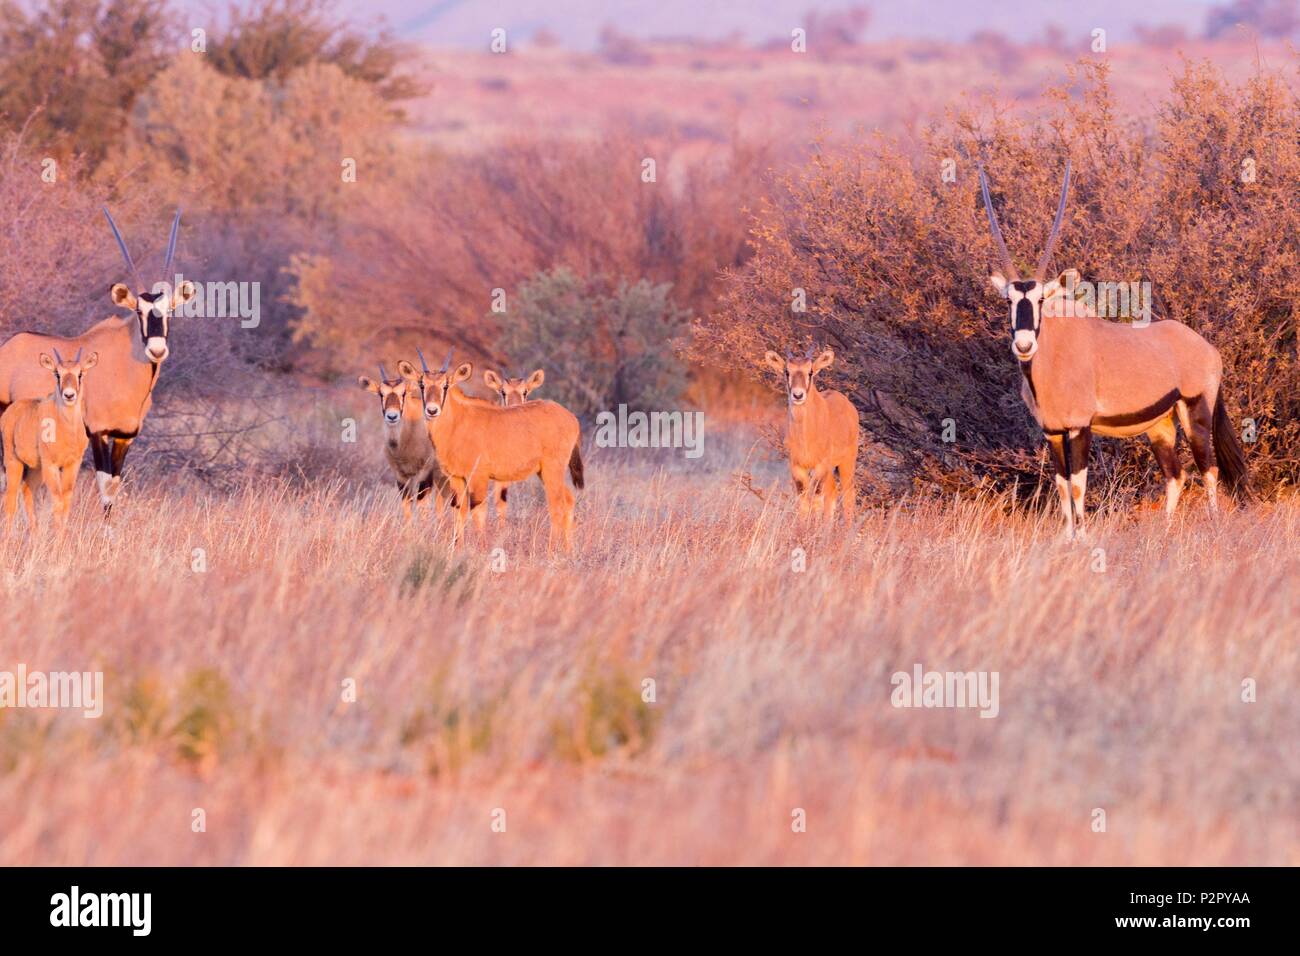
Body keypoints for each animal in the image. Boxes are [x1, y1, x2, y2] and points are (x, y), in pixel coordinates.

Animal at [1, 349, 99, 531]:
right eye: (57, 374)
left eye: (80, 374)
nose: (69, 395)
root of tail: (10, 412)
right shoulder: (51, 465)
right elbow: (57, 502)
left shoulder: (72, 464)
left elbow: (66, 502)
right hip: (14, 461)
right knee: (10, 500)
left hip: (36, 469)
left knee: (27, 492)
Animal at [357, 353, 454, 519]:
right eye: (381, 394)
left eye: (403, 393)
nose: (392, 416)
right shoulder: (401, 477)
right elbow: (407, 507)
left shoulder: (425, 475)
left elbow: (422, 507)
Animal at [763, 346, 860, 521]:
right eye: (787, 371)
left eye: (810, 371)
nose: (798, 395)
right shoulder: (797, 466)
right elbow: (803, 501)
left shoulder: (820, 465)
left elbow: (816, 499)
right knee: (832, 492)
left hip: (846, 463)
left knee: (848, 495)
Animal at [979, 161, 1250, 539]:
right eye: (1009, 300)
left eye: (1041, 299)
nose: (1024, 345)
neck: (1052, 357)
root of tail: (1207, 348)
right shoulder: (1053, 431)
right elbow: (1062, 484)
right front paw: (1067, 538)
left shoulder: (1080, 427)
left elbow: (1078, 483)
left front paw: (1082, 537)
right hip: (1159, 424)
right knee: (1176, 474)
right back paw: (1165, 531)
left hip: (1195, 409)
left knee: (1207, 468)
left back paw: (1212, 525)